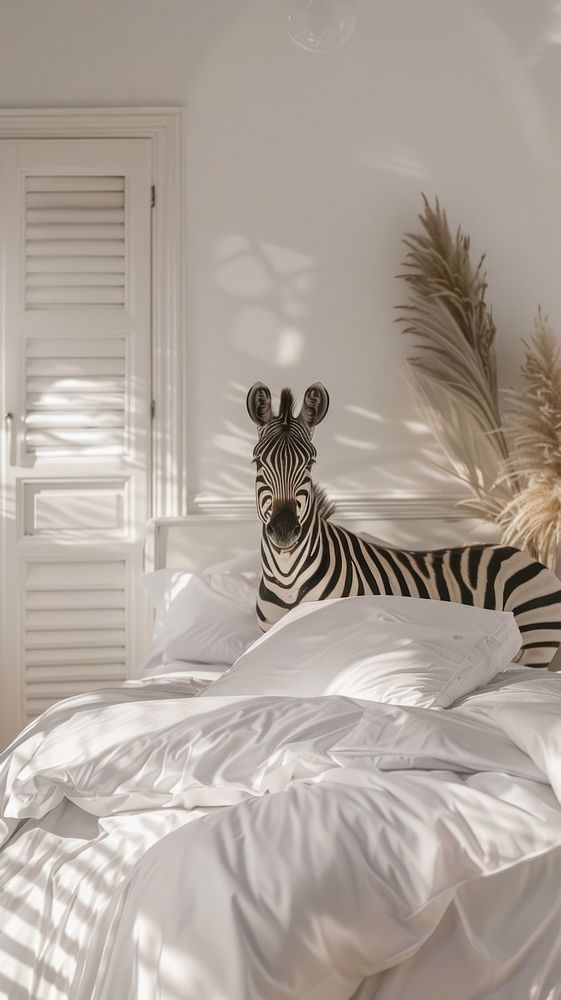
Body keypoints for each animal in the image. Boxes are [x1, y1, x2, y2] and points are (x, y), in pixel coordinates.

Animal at [247, 381, 561, 668]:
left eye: (310, 464)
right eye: (257, 462)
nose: (284, 529)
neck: (288, 578)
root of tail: (525, 556)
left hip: (536, 639)